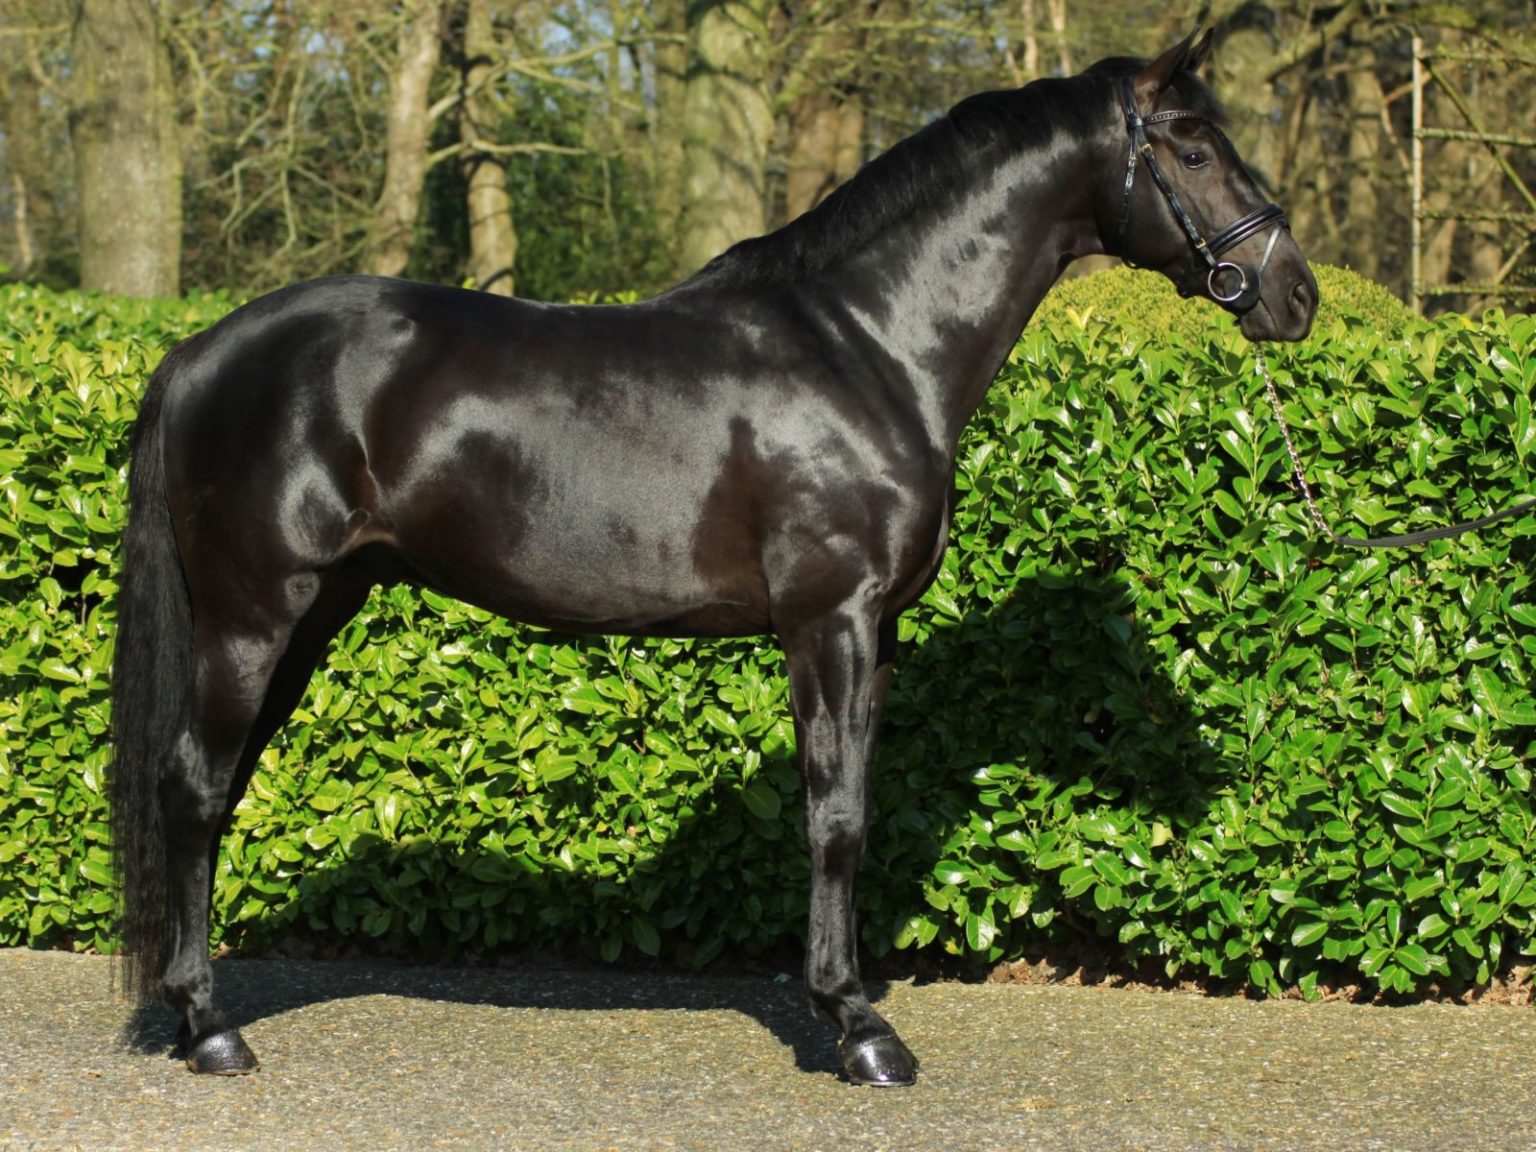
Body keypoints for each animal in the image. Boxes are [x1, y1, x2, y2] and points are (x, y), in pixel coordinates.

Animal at [110, 29, 1317, 1086]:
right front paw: (858, 1030)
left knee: (213, 789)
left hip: (312, 613)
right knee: (195, 787)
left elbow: (853, 805)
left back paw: (188, 1013)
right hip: (256, 615)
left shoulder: (874, 631)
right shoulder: (829, 620)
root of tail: (202, 348)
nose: (1293, 293)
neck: (869, 347)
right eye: (1194, 149)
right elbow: (835, 816)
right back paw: (211, 1031)